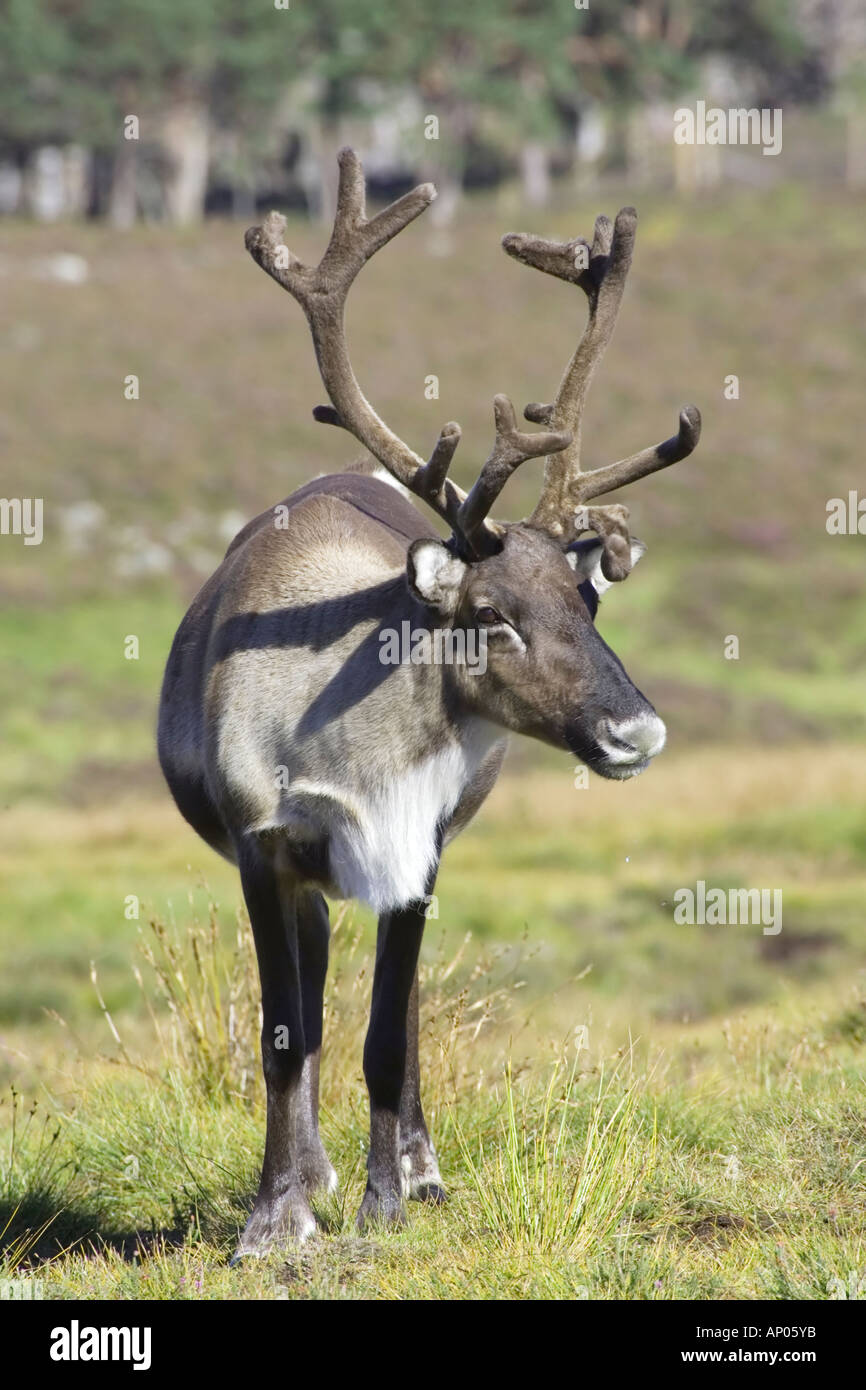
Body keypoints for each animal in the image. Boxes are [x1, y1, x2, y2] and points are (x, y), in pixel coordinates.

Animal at [157, 148, 701, 1259]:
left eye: (586, 598)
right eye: (490, 612)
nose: (638, 730)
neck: (344, 752)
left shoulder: (415, 847)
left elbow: (382, 1033)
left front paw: (383, 1201)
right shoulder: (262, 847)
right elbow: (284, 1034)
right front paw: (276, 1216)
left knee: (393, 1018)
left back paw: (415, 1166)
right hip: (310, 880)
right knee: (313, 999)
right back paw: (313, 1169)